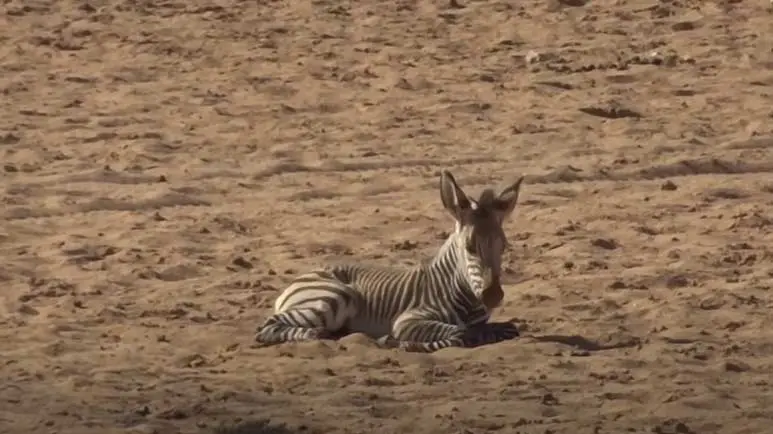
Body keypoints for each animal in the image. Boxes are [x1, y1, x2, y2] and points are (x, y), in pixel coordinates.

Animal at [254, 170, 525, 352]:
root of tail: (298, 280)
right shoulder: (407, 320)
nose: (493, 296)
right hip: (335, 296)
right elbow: (460, 333)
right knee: (266, 327)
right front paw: (401, 343)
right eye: (469, 247)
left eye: (504, 247)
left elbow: (506, 329)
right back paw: (315, 333)